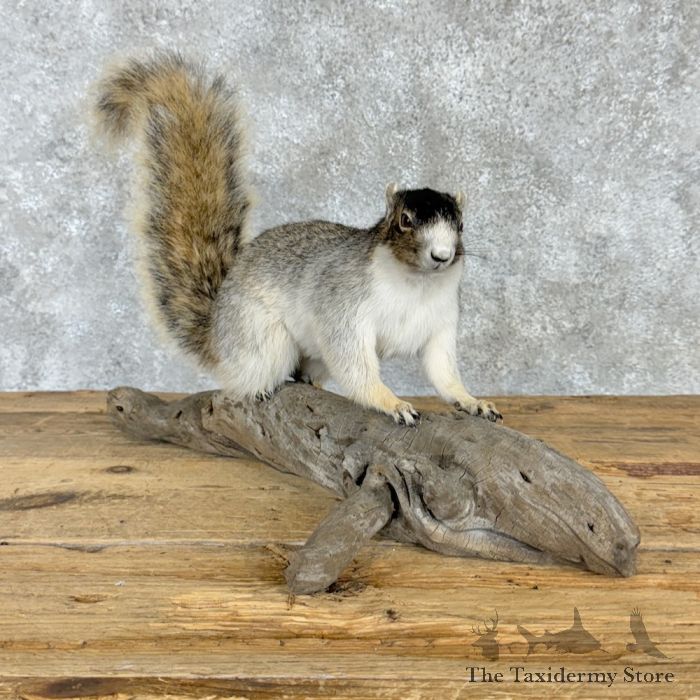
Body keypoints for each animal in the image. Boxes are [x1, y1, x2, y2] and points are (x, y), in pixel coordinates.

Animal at [94, 52, 501, 426]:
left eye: (461, 225)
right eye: (404, 220)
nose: (442, 255)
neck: (415, 284)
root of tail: (219, 336)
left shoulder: (441, 324)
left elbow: (442, 371)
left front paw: (473, 401)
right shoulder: (343, 307)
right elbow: (355, 364)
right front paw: (391, 402)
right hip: (263, 338)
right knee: (241, 382)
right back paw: (256, 389)